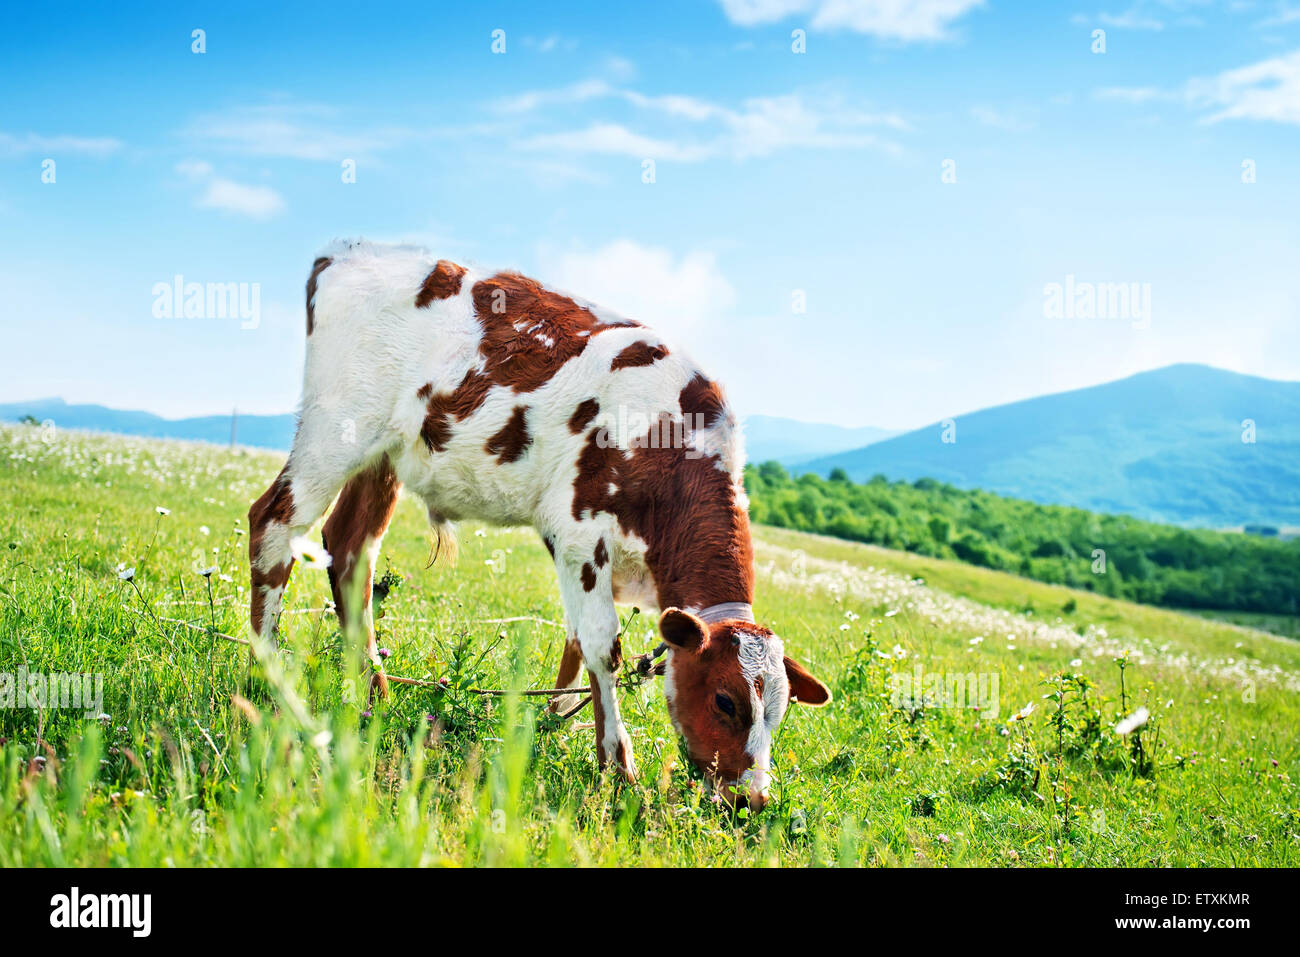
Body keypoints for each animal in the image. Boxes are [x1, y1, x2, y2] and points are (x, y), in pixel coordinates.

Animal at [247, 241, 831, 811]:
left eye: (779, 712)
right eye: (725, 700)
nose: (752, 800)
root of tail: (347, 252)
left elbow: (575, 641)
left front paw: (553, 724)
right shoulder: (579, 531)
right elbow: (602, 647)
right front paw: (618, 770)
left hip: (384, 453)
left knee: (350, 550)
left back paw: (376, 696)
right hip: (335, 430)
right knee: (273, 522)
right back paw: (272, 678)